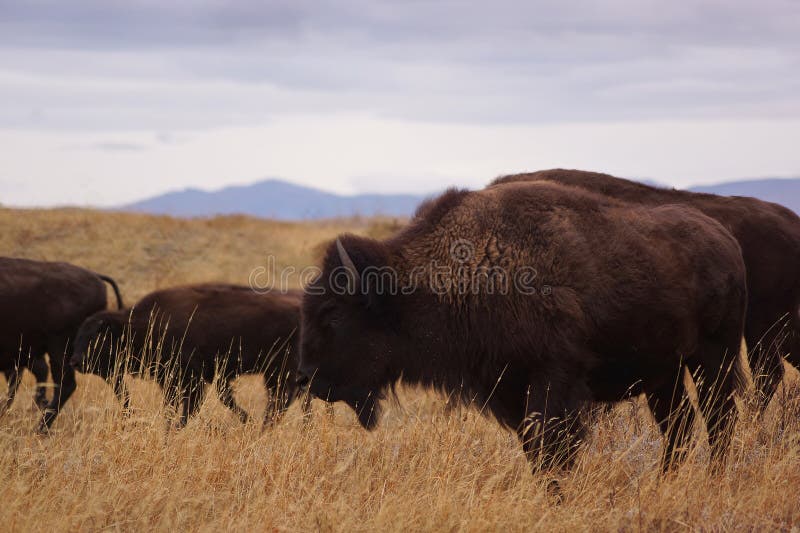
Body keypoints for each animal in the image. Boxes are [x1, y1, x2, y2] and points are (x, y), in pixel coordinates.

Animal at [71, 284, 311, 428]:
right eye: (79, 334)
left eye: (95, 337)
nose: (75, 361)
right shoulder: (180, 380)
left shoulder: (191, 378)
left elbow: (188, 409)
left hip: (278, 373)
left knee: (280, 402)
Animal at [298, 180, 747, 473]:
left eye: (333, 314)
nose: (308, 377)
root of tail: (726, 240)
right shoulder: (508, 388)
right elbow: (535, 448)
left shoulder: (553, 377)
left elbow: (551, 449)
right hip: (663, 373)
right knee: (681, 426)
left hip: (713, 360)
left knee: (718, 419)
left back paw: (713, 480)